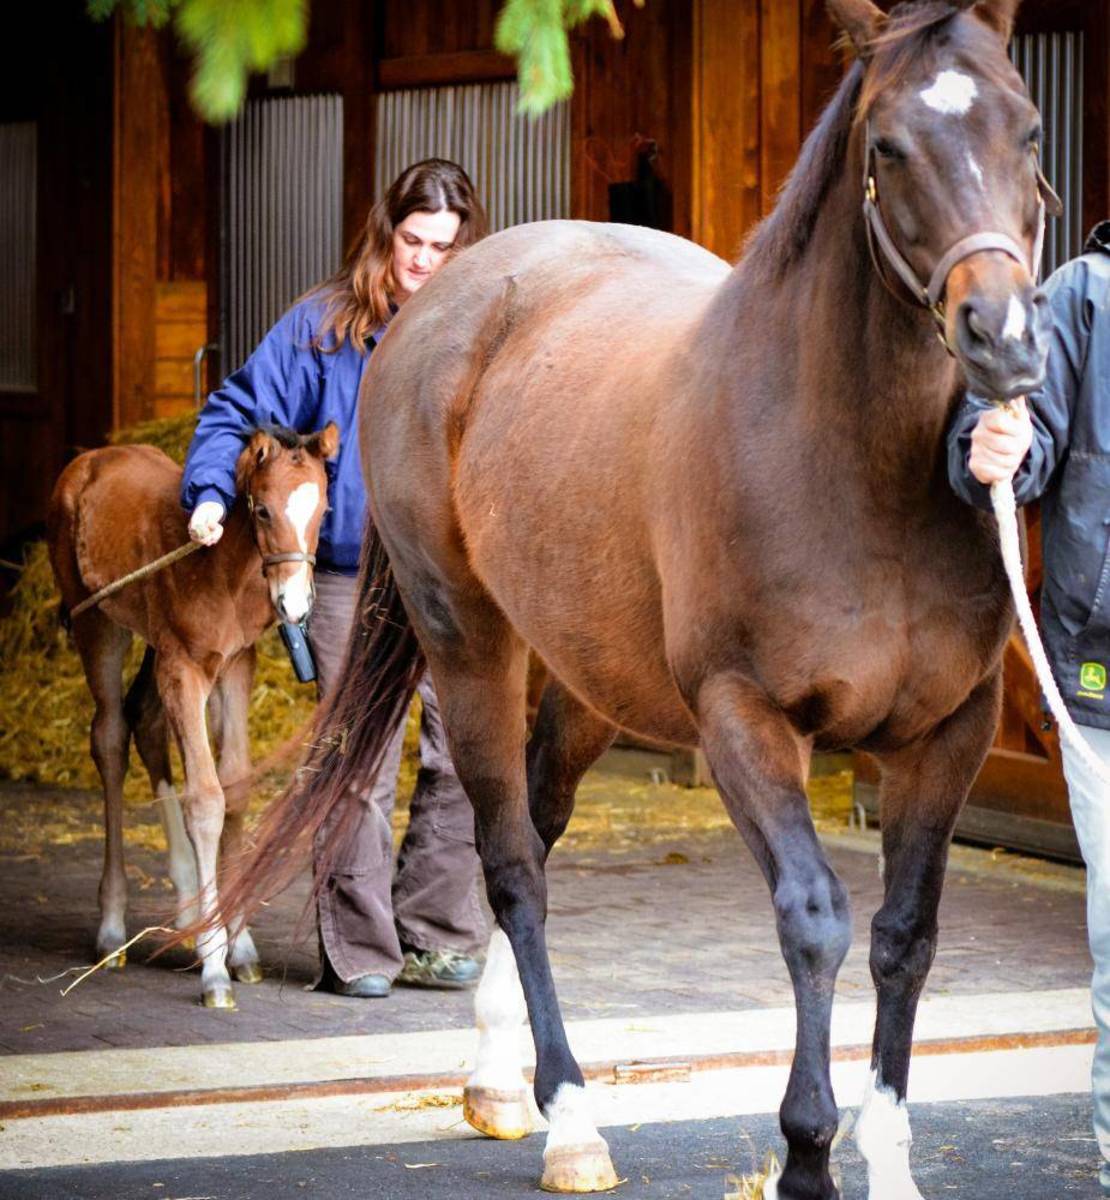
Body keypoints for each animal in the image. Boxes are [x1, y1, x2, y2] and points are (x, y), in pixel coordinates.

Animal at [47, 423, 336, 1009]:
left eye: (323, 510)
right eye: (263, 511)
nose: (295, 606)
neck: (222, 568)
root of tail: (90, 459)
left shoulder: (235, 664)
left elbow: (236, 786)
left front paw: (237, 943)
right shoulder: (184, 667)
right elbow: (205, 799)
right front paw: (215, 967)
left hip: (153, 647)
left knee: (145, 724)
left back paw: (184, 907)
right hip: (98, 623)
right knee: (110, 736)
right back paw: (112, 929)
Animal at [208, 0, 1058, 1193]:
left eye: (1027, 132)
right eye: (888, 147)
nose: (1006, 340)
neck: (852, 465)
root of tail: (442, 303)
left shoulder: (952, 732)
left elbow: (907, 936)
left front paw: (886, 1159)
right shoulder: (745, 717)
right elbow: (815, 919)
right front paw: (806, 1152)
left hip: (588, 678)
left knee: (540, 826)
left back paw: (494, 1081)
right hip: (470, 643)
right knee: (513, 866)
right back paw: (569, 1119)